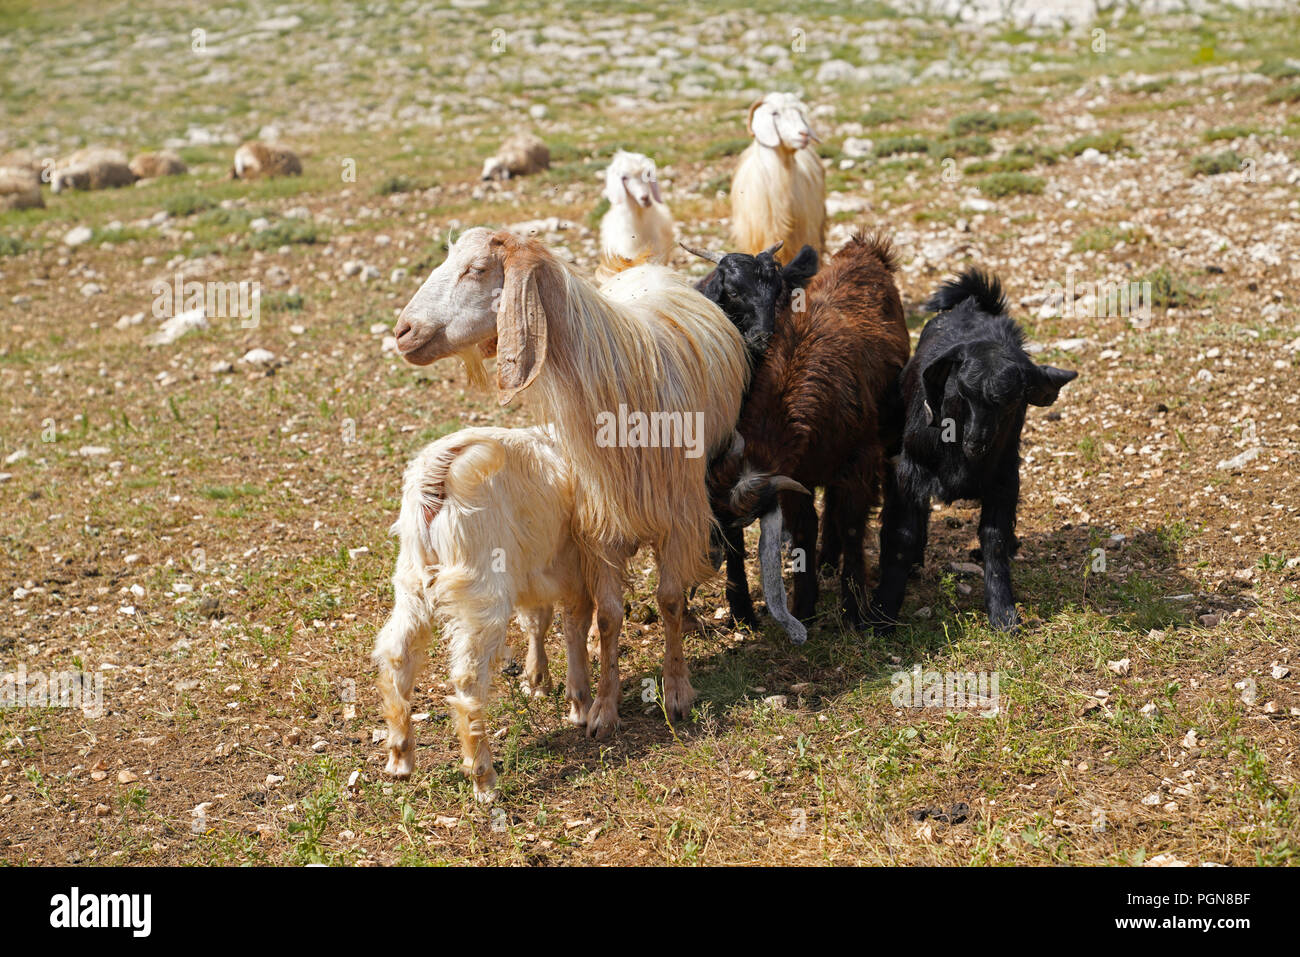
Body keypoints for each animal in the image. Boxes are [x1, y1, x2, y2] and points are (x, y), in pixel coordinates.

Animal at [373, 426, 597, 801]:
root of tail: (436, 474)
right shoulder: (578, 570)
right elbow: (574, 628)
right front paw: (579, 706)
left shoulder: (535, 573)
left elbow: (537, 621)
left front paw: (537, 681)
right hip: (481, 591)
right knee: (468, 679)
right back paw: (484, 778)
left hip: (411, 582)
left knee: (397, 655)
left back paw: (401, 758)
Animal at [392, 227, 749, 736]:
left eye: (477, 270)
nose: (402, 332)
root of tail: (639, 263)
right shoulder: (598, 524)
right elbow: (610, 615)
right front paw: (603, 707)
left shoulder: (678, 518)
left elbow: (670, 600)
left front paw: (678, 692)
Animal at [688, 233, 909, 630]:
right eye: (731, 291)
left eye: (781, 291)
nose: (704, 562)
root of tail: (867, 249)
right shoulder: (798, 479)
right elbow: (806, 529)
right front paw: (804, 607)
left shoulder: (860, 464)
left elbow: (852, 528)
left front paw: (854, 610)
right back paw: (826, 560)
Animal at [869, 269, 1077, 633]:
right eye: (962, 391)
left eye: (1014, 400)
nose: (976, 441)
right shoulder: (910, 470)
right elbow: (901, 535)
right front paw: (881, 615)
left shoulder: (1005, 478)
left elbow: (994, 539)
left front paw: (1004, 614)